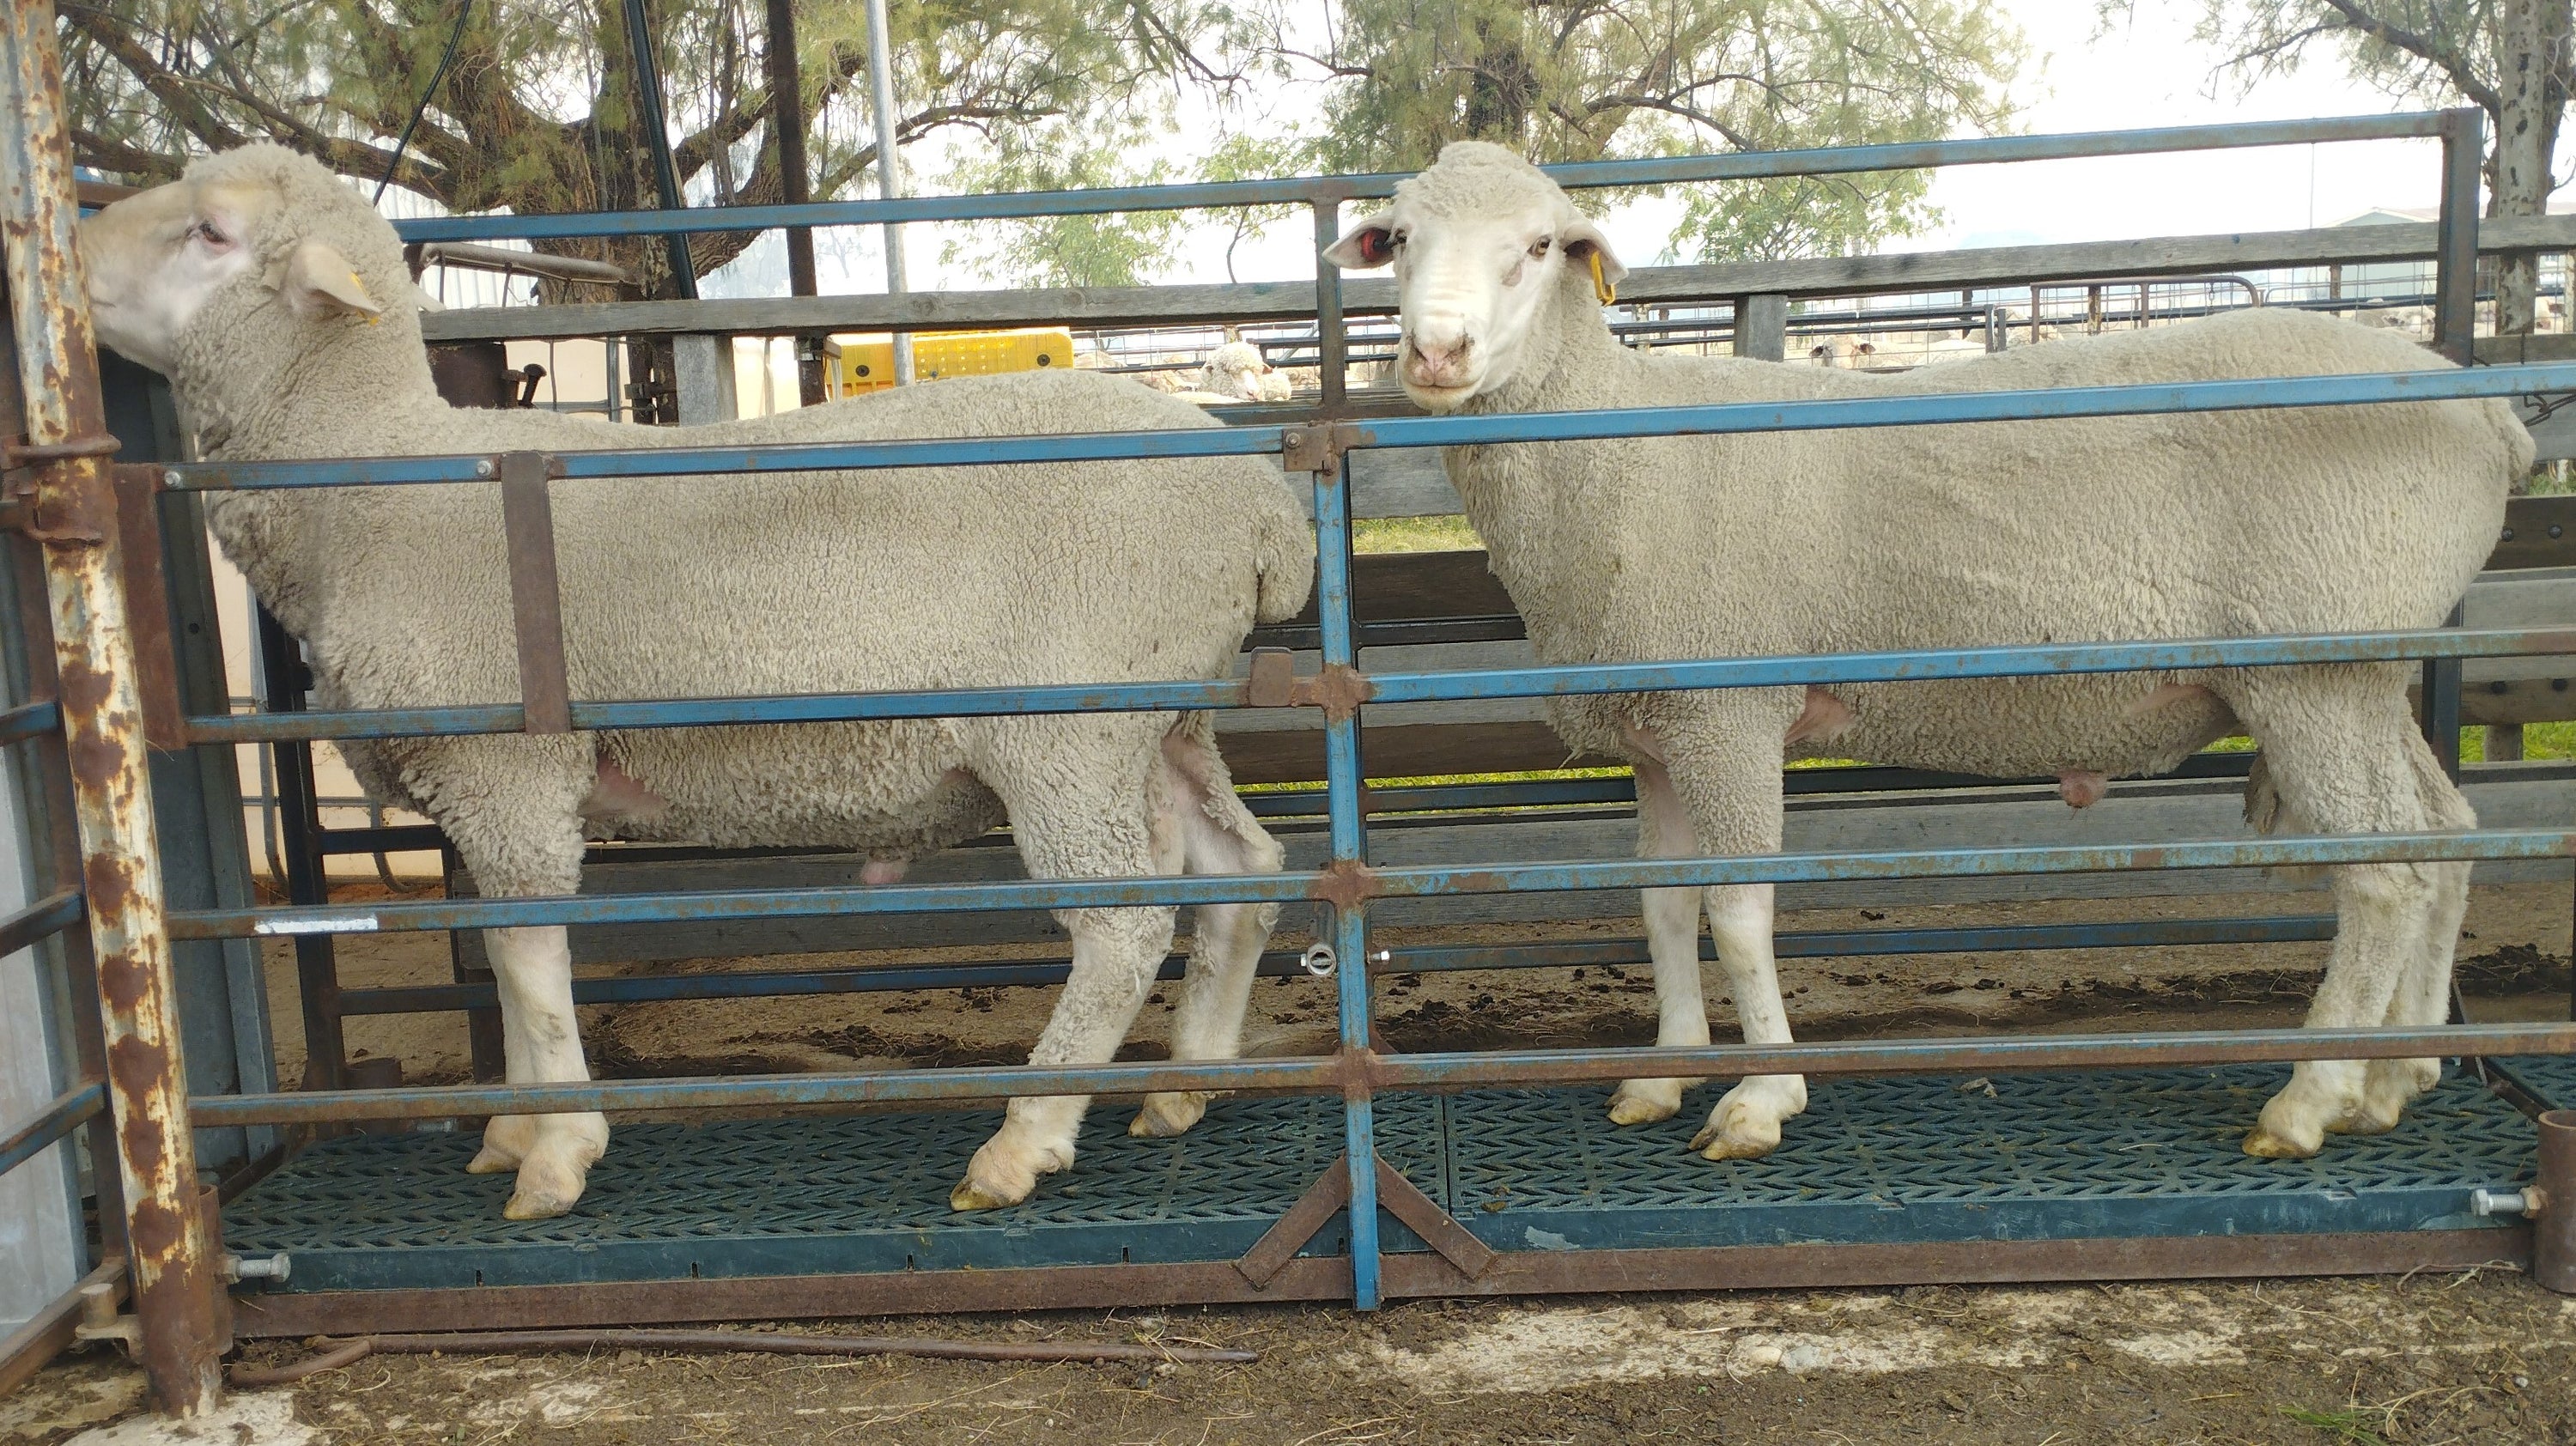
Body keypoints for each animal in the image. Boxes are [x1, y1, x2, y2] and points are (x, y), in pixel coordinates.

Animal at [82, 144, 1316, 1220]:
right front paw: (513, 1133)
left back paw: (1024, 1139)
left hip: (1066, 727)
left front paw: (557, 1154)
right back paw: (1187, 1088)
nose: (72, 252)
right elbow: (502, 953)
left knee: (1124, 925)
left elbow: (527, 954)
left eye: (210, 231)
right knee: (1240, 873)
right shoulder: (487, 787)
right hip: (1161, 714)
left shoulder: (506, 769)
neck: (367, 486)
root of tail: (1263, 506)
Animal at [1323, 141, 2527, 1165]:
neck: (1613, 447)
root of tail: (2491, 420)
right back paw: (2397, 1076)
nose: (1436, 351)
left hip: (2312, 667)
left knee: (2383, 873)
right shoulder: (1660, 720)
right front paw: (1663, 1075)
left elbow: (1739, 912)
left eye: (1536, 247)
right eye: (1402, 239)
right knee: (2445, 836)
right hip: (2368, 668)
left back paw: (2312, 1095)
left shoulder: (1728, 707)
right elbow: (1663, 904)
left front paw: (1761, 1098)